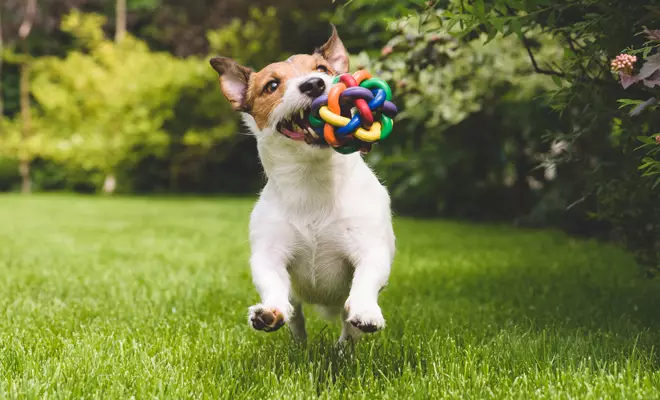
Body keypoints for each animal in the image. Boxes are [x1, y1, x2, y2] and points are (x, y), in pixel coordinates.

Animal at [211, 25, 394, 344]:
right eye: (271, 85)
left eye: (322, 69)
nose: (313, 84)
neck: (312, 180)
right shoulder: (269, 255)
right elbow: (272, 283)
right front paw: (269, 312)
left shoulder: (370, 248)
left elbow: (366, 278)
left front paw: (366, 310)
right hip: (296, 302)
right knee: (296, 316)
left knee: (348, 328)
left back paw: (344, 348)